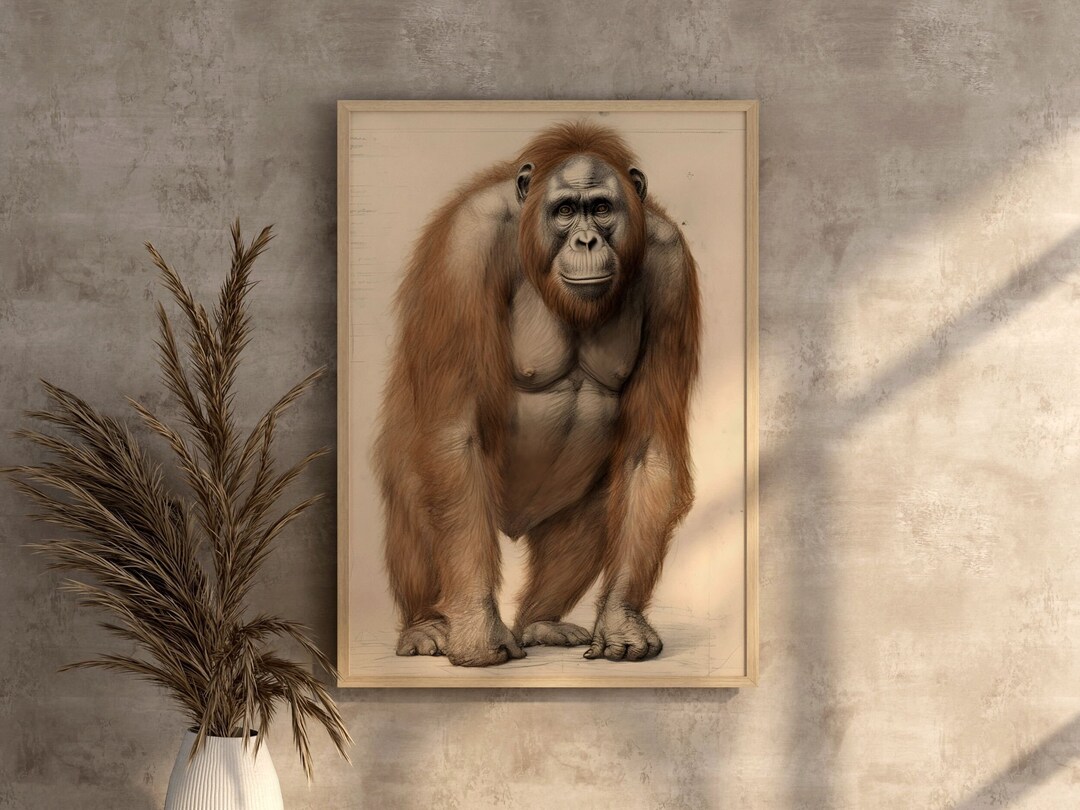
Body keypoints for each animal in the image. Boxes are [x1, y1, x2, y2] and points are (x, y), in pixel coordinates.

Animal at [373, 121, 701, 667]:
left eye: (601, 207)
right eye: (565, 210)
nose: (587, 240)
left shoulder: (672, 265)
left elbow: (648, 450)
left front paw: (621, 620)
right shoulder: (466, 242)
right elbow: (456, 434)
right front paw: (477, 629)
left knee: (600, 502)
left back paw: (541, 622)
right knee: (426, 486)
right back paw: (427, 624)